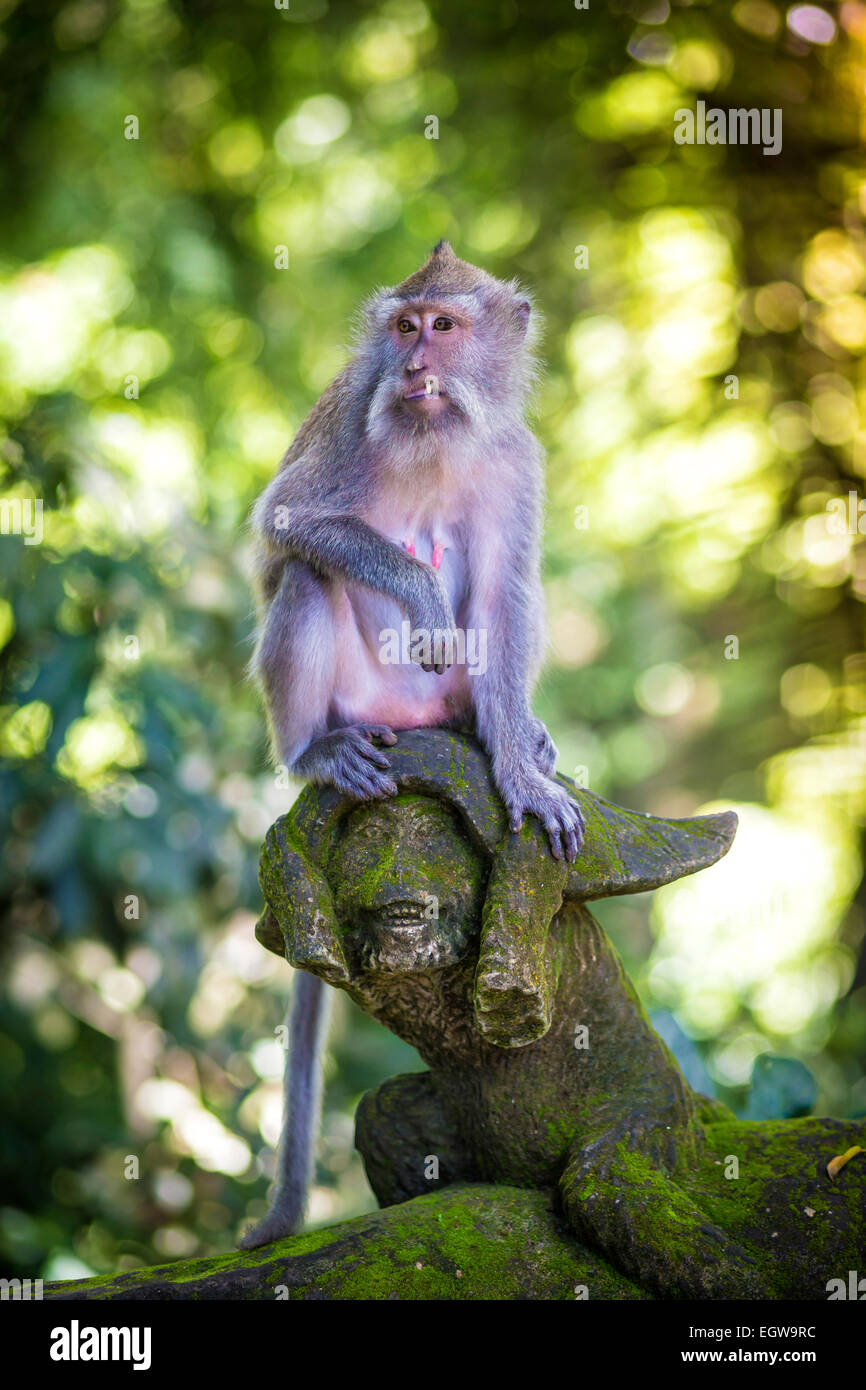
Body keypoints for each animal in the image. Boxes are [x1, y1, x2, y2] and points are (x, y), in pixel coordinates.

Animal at [239, 242, 584, 1249]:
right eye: (403, 327)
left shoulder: (518, 460)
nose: (416, 366)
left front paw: (519, 772)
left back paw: (505, 734)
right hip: (363, 700)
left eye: (445, 325)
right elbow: (287, 525)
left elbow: (506, 593)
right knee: (308, 577)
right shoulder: (348, 424)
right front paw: (423, 599)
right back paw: (315, 753)